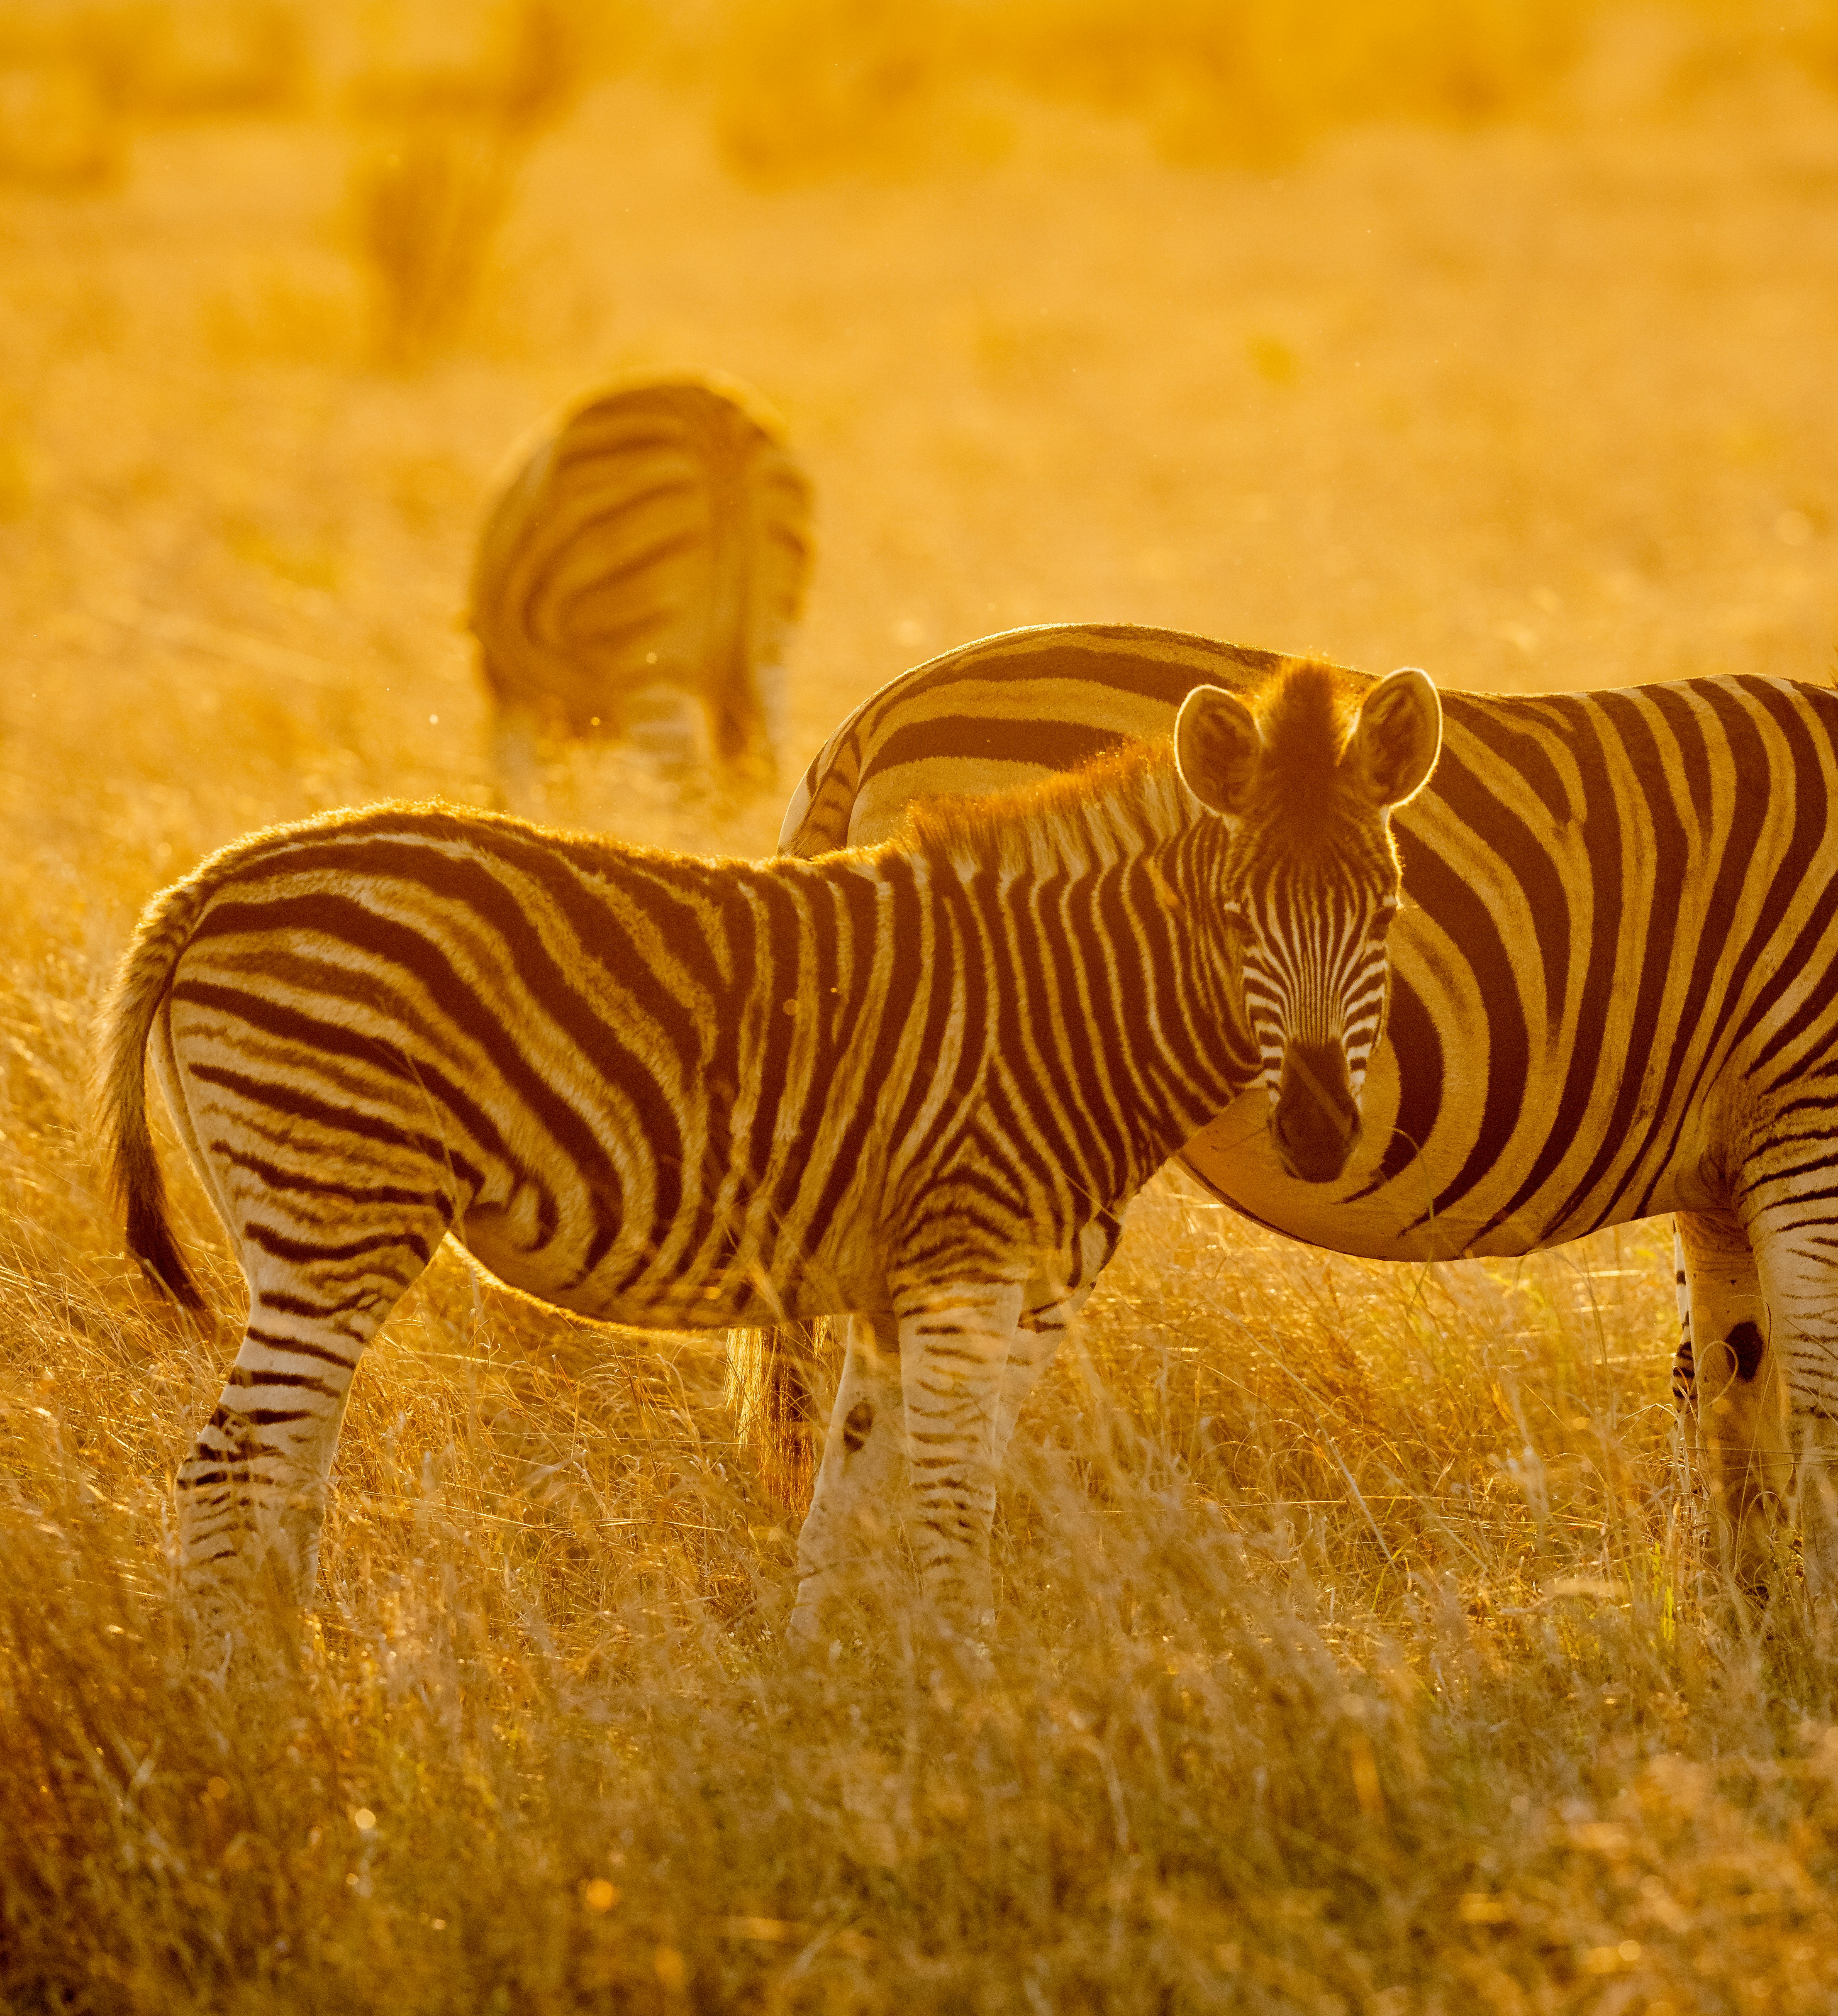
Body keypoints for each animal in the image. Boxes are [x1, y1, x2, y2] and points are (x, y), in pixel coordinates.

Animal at [96, 660, 1440, 1640]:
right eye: (1235, 916)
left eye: (1382, 911)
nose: (1316, 1130)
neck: (1066, 1007)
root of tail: (220, 875)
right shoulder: (966, 1267)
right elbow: (950, 1500)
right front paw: (973, 1695)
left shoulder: (933, 1291)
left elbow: (854, 1500)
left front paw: (824, 1691)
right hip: (339, 1206)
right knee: (229, 1466)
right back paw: (238, 1706)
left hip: (291, 1226)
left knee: (284, 1469)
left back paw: (286, 1672)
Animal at [468, 372, 814, 801]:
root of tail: (706, 410)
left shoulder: (517, 701)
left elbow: (528, 788)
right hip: (767, 653)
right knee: (762, 771)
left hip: (651, 660)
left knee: (684, 783)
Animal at [743, 620, 1838, 1596]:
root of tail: (874, 717)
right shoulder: (1805, 1124)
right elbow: (1815, 1412)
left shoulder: (1725, 1177)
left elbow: (1733, 1418)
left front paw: (1745, 1643)